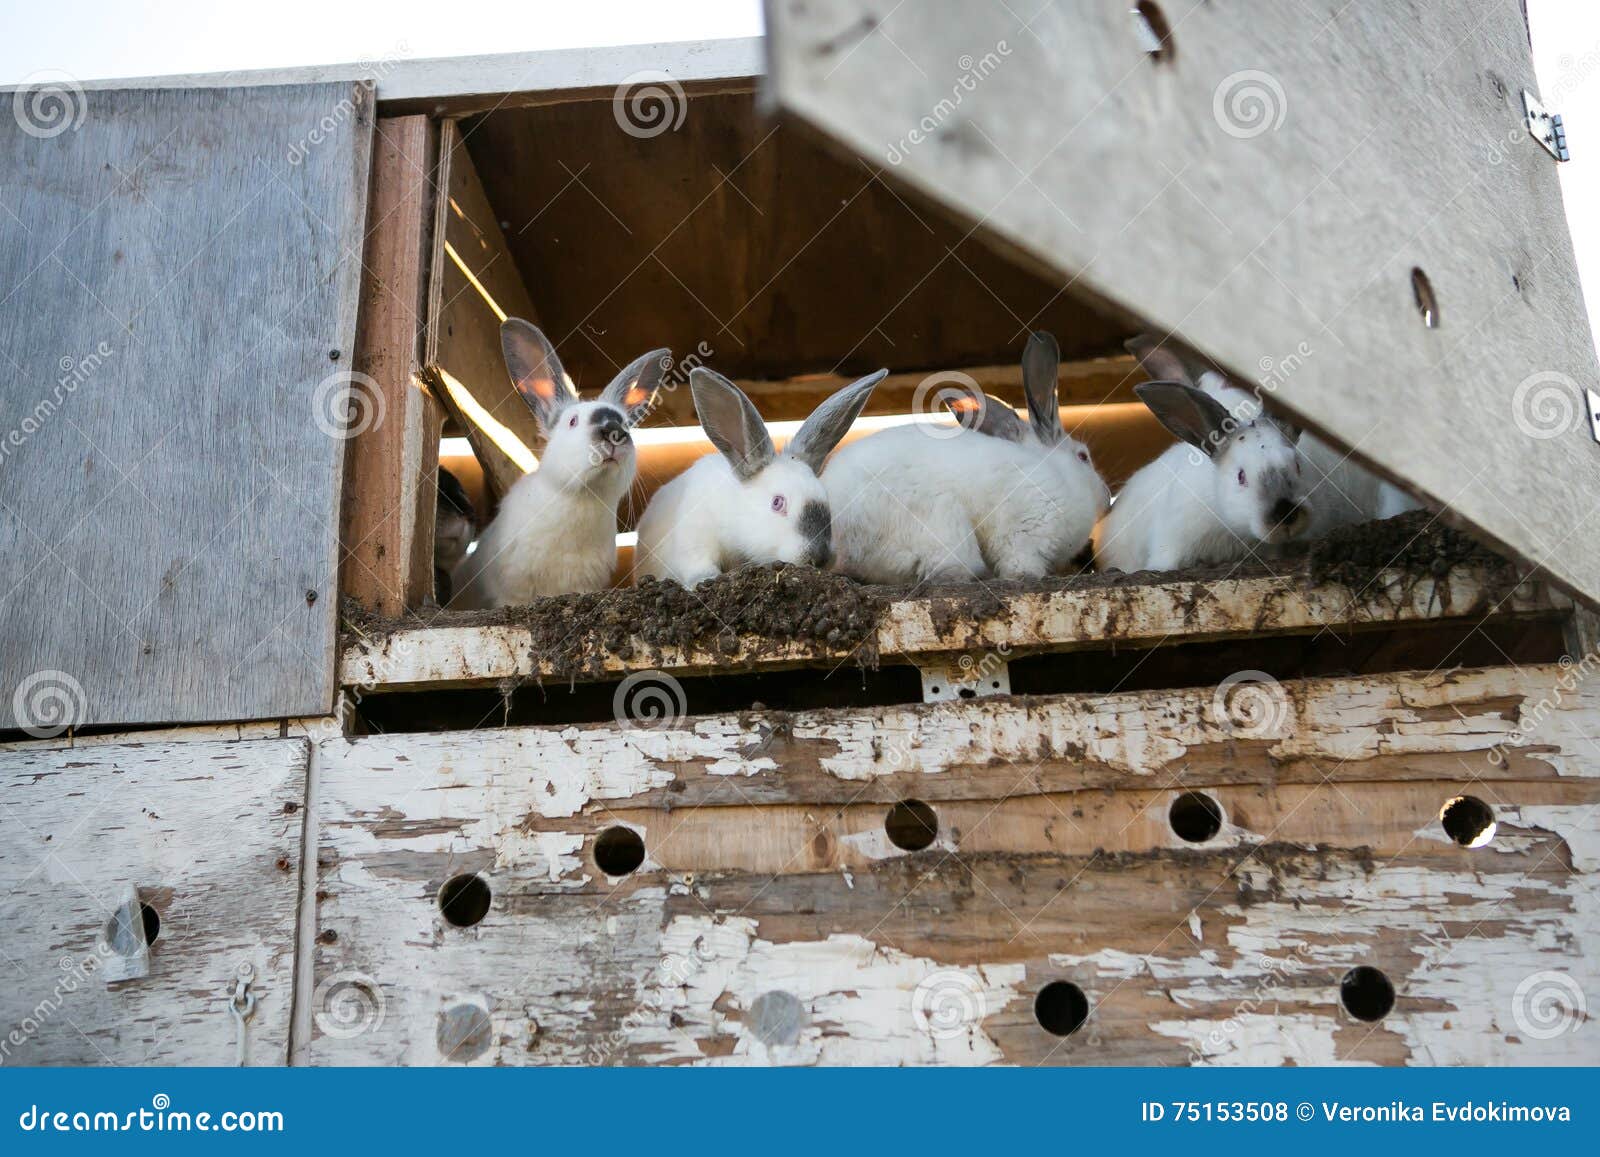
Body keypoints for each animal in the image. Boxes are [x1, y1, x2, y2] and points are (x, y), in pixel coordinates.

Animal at [632, 366, 886, 586]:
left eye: (827, 503)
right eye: (777, 503)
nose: (819, 556)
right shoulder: (694, 536)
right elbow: (697, 563)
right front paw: (706, 579)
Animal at [825, 332, 1110, 584]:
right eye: (1083, 456)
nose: (1107, 498)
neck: (1062, 475)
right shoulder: (1024, 529)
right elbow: (1018, 563)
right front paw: (1030, 576)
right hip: (943, 526)